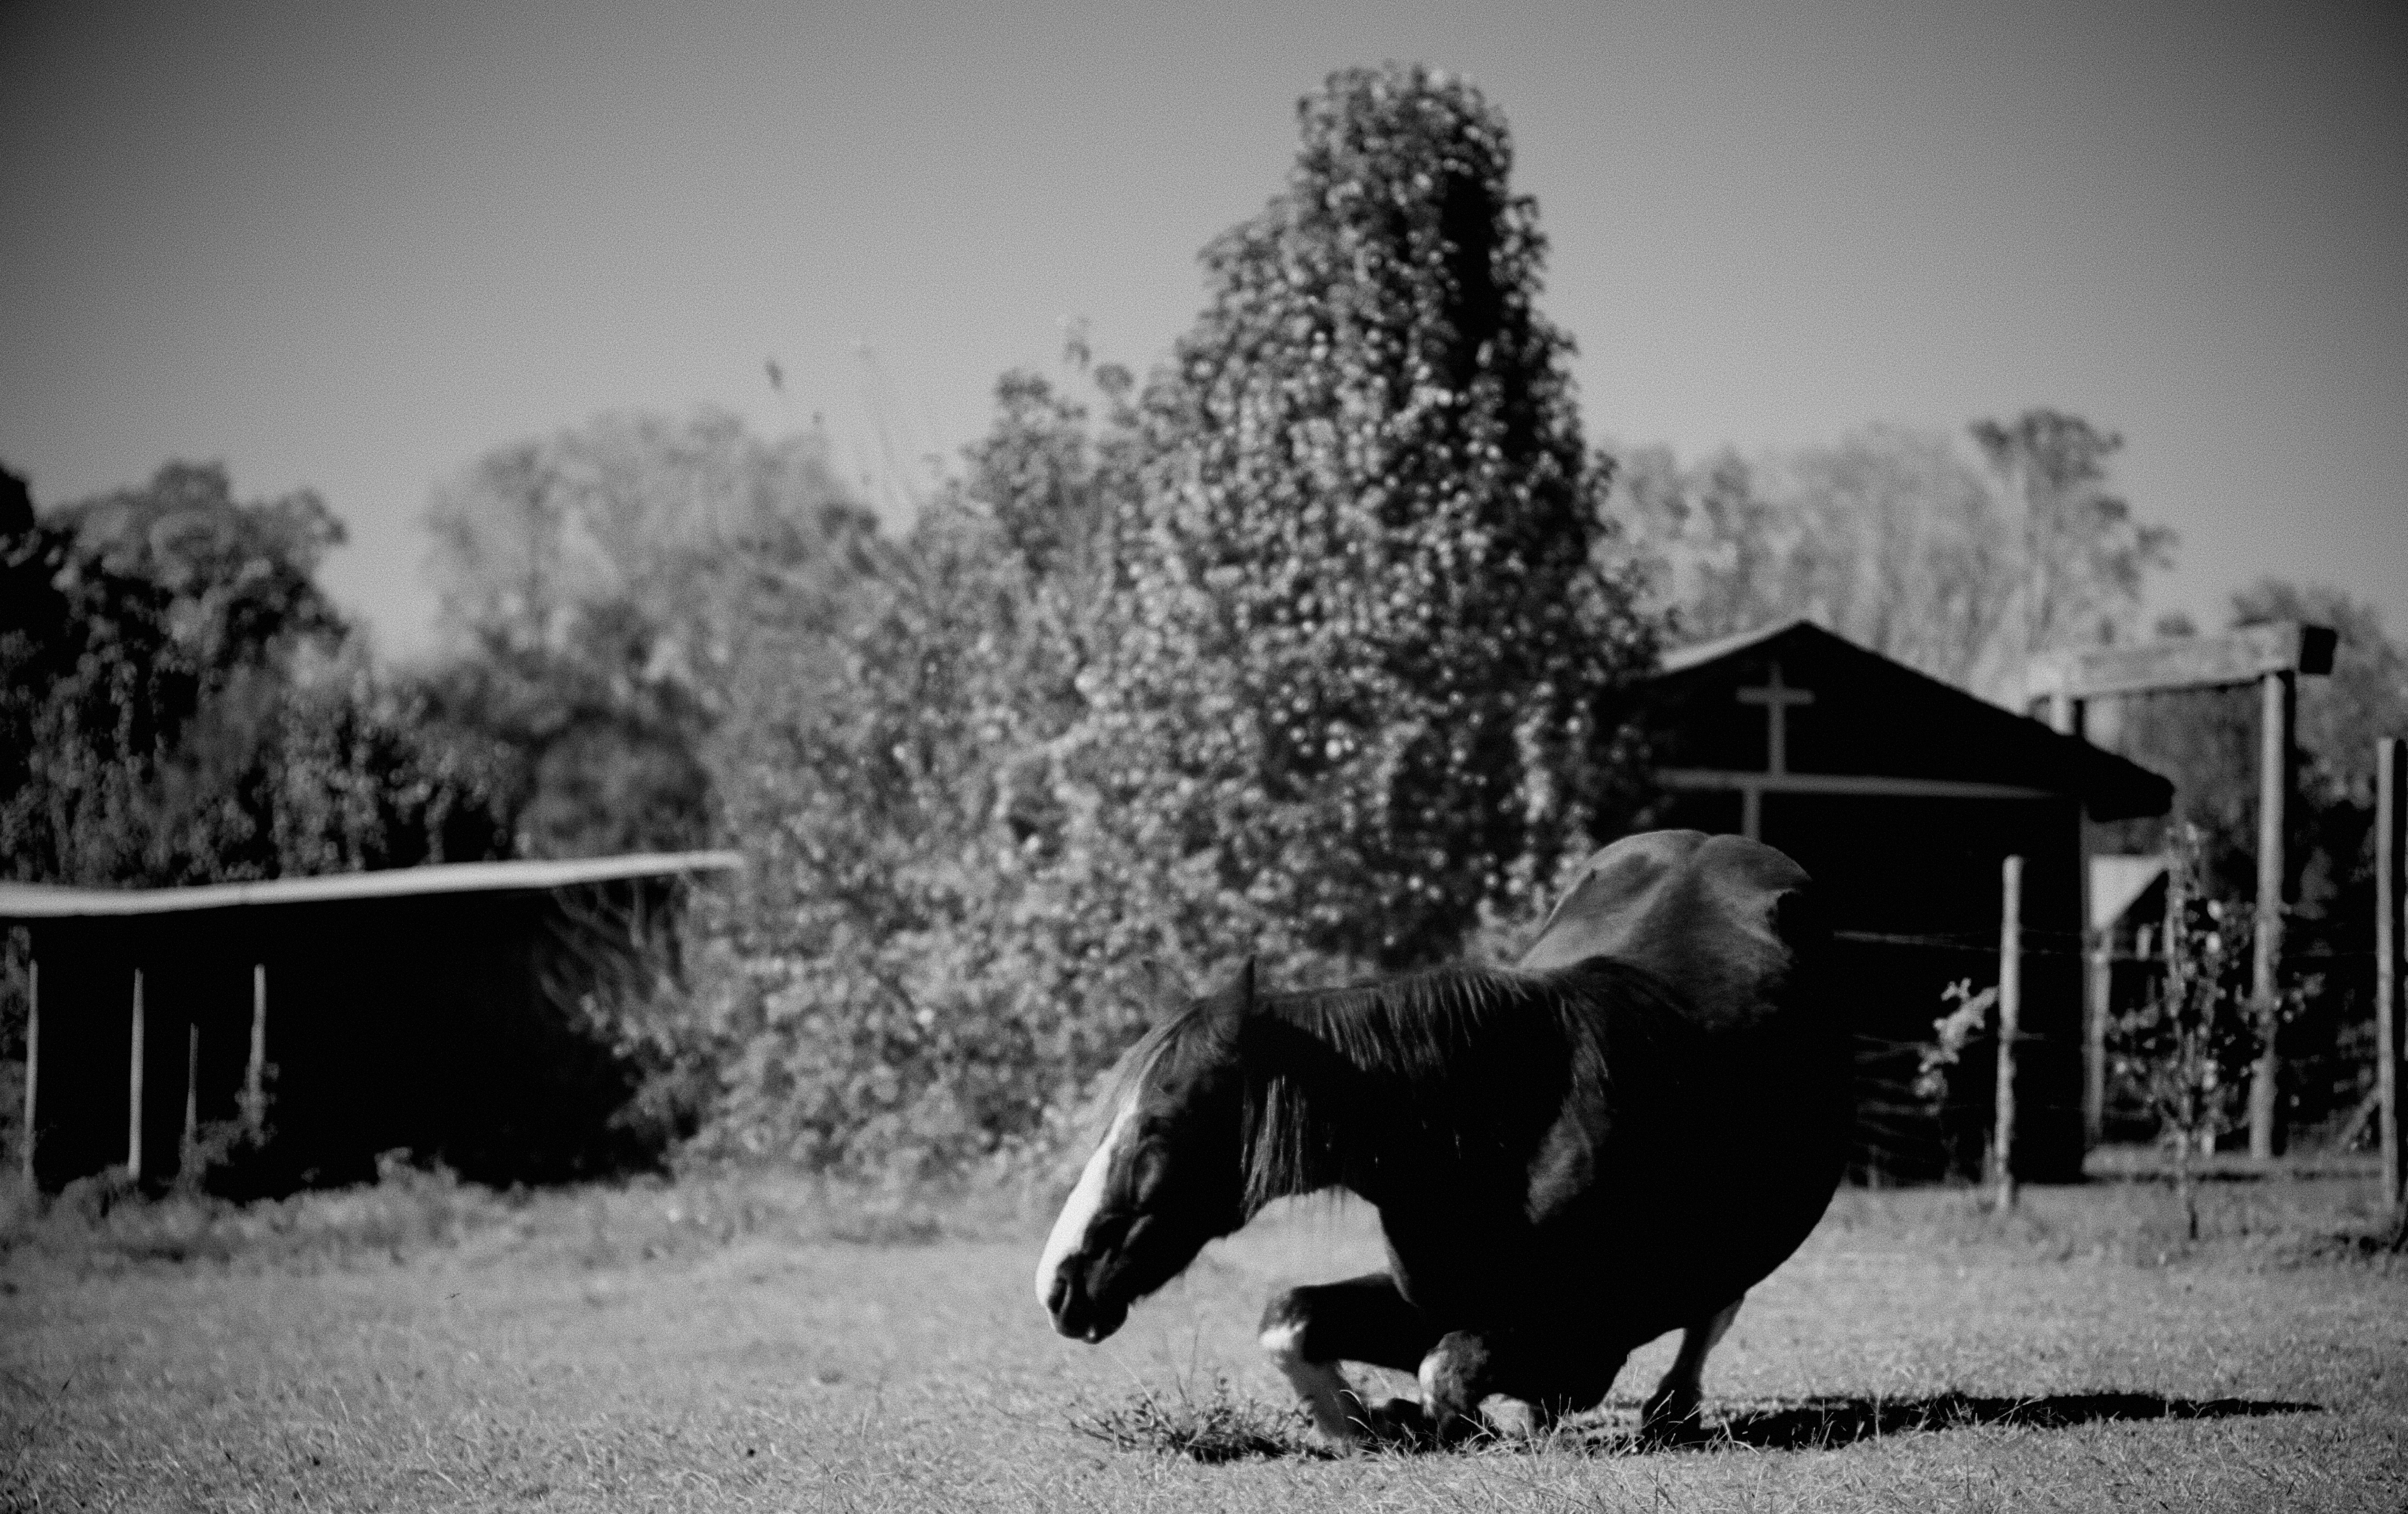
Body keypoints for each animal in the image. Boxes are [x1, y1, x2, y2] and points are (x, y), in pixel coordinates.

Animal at [1033, 829, 1850, 1447]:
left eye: (1158, 1124)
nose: (1059, 1284)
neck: (1505, 1133)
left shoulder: (1590, 1328)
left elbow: (1450, 1371)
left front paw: (1415, 1416)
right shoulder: (1426, 1300)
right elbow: (1292, 1320)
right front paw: (1360, 1420)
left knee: (1715, 1304)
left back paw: (1668, 1405)